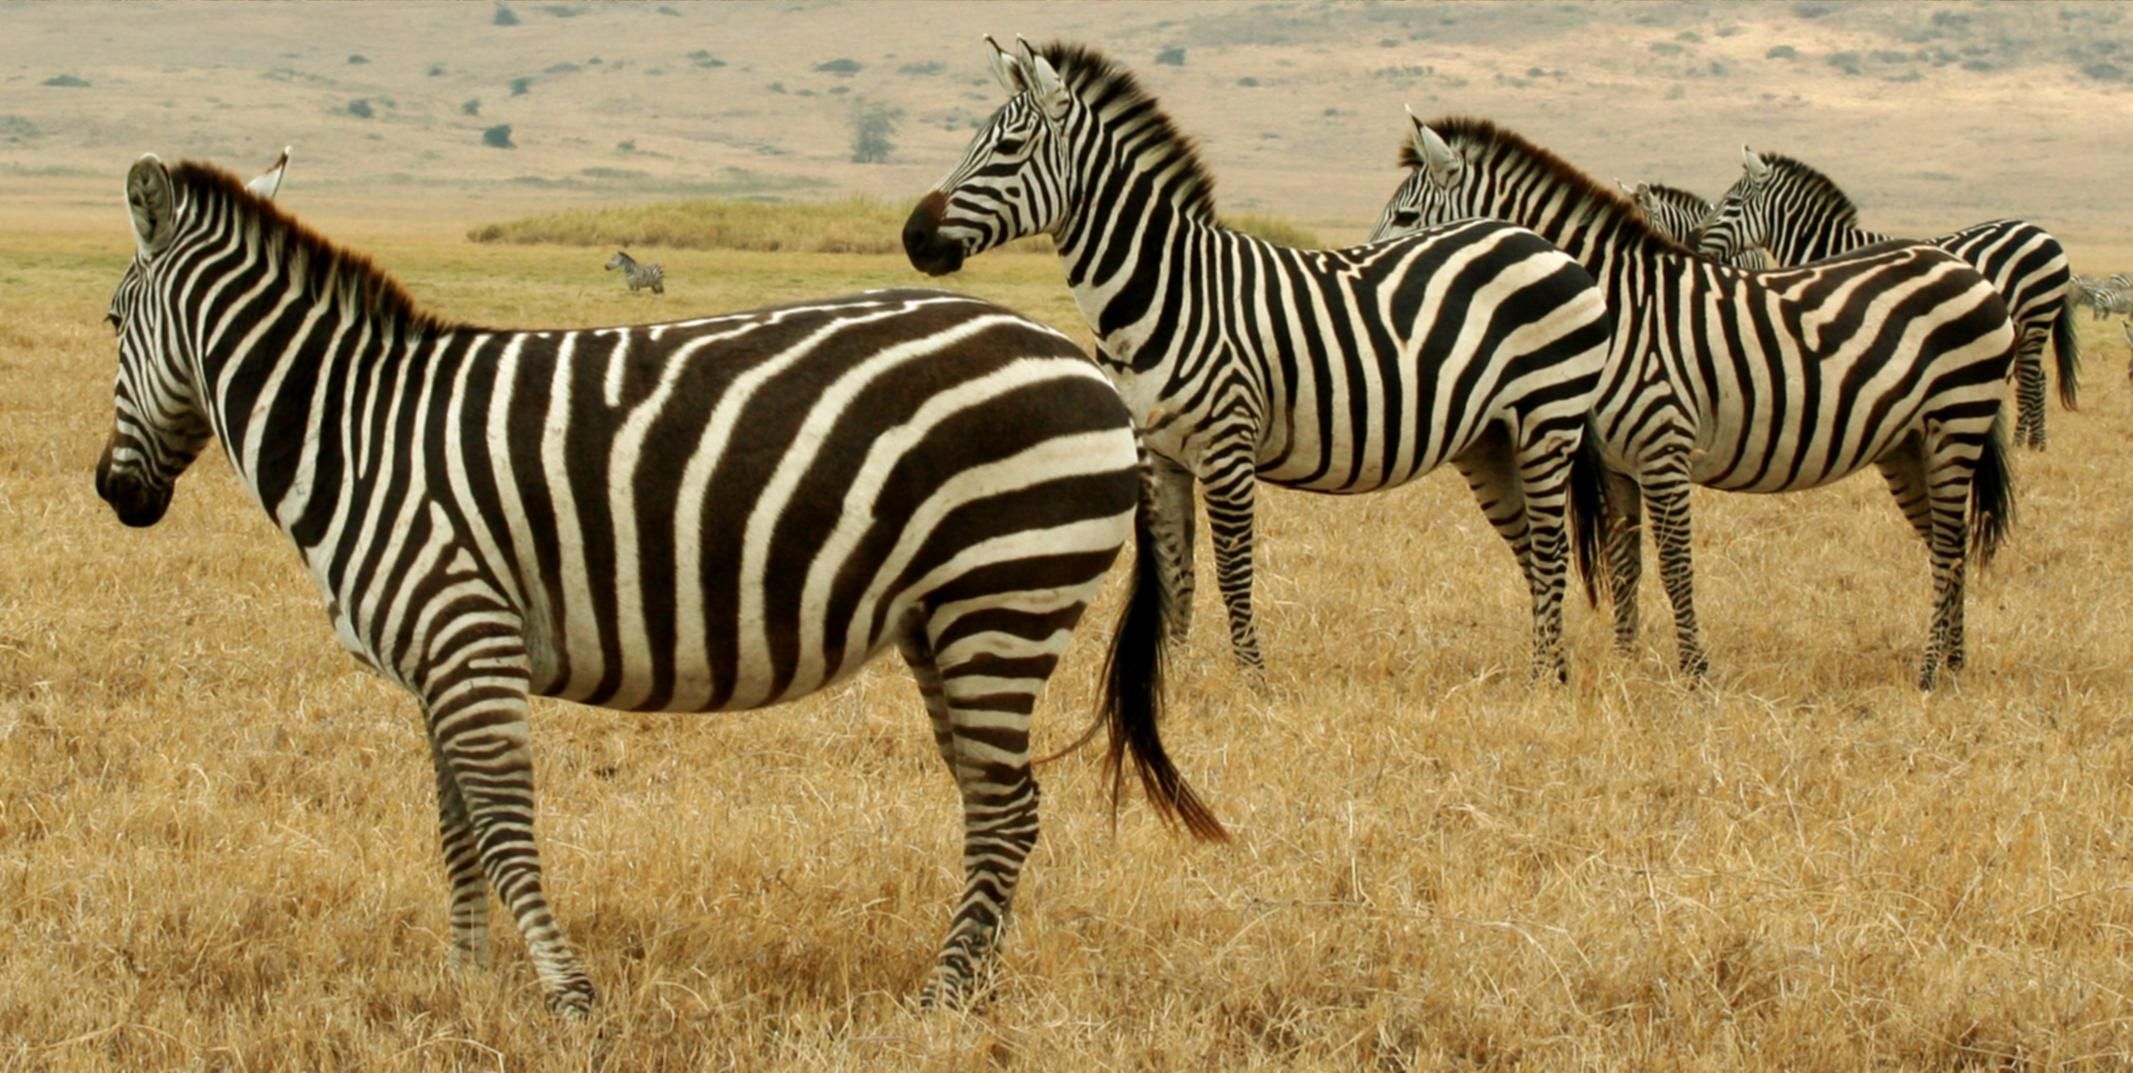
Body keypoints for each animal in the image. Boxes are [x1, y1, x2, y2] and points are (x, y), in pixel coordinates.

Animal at [95, 152, 1224, 1018]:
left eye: (111, 321)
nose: (114, 493)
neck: (359, 432)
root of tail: (1083, 365)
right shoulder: (437, 660)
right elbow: (454, 829)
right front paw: (465, 981)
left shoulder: (465, 635)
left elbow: (502, 828)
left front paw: (568, 996)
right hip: (947, 618)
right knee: (1002, 802)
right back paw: (973, 985)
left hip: (1004, 592)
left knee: (1003, 805)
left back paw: (942, 1000)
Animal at [901, 38, 1616, 681]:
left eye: (1008, 149)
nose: (914, 237)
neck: (1169, 287)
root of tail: (1536, 239)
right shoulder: (1161, 457)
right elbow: (1179, 573)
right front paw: (1171, 682)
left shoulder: (1227, 446)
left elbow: (1232, 571)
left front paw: (1252, 682)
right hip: (1491, 440)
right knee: (1533, 550)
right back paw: (1551, 670)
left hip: (1548, 420)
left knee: (1551, 547)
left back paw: (1542, 679)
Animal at [1696, 147, 2077, 450]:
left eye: (1732, 203)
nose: (1693, 238)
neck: (1833, 251)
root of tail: (2042, 232)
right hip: (2026, 326)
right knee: (2038, 377)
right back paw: (2030, 441)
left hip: (2035, 316)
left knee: (2031, 381)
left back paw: (2028, 445)